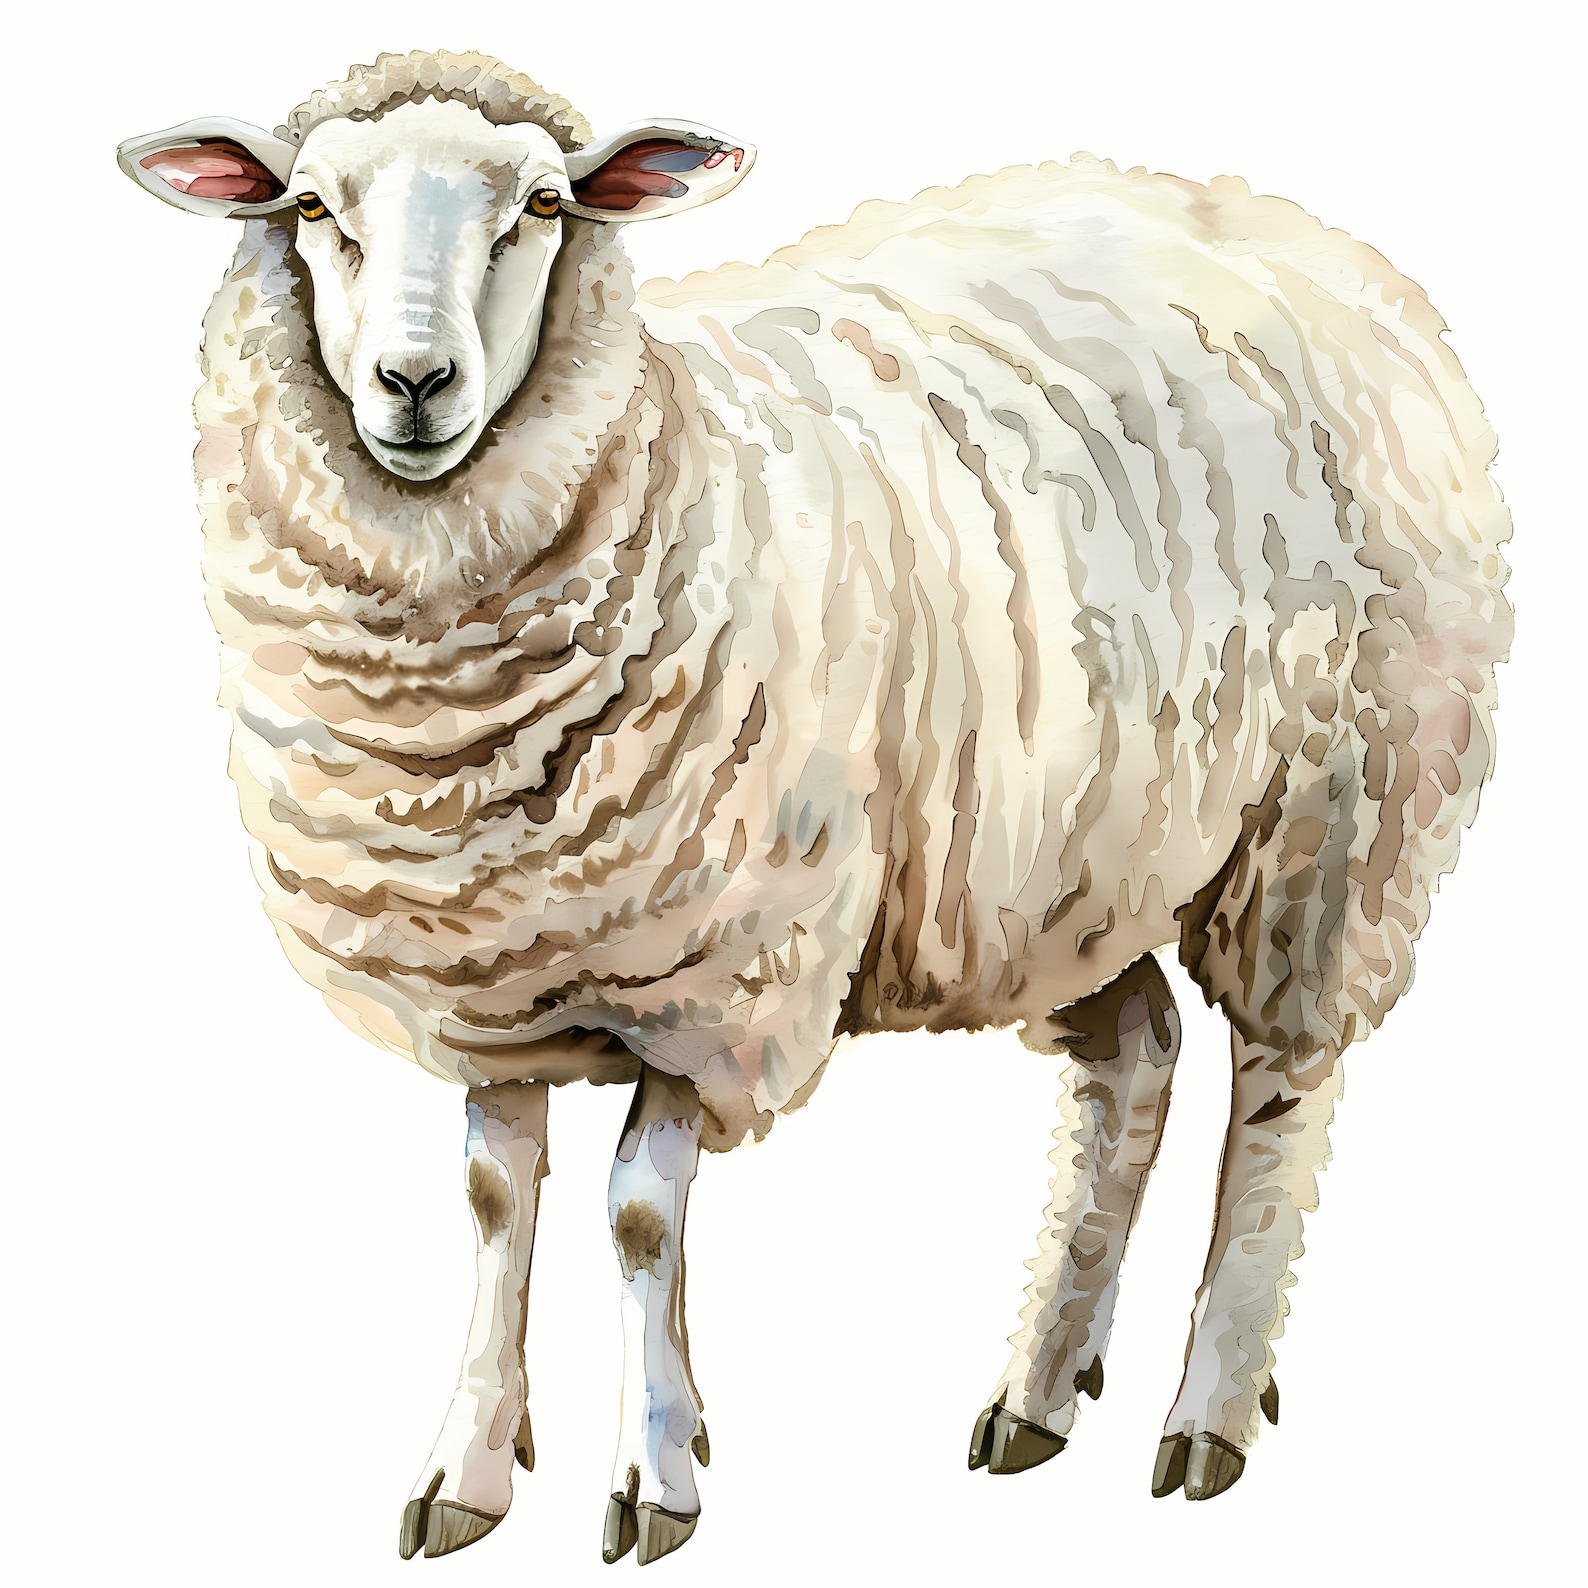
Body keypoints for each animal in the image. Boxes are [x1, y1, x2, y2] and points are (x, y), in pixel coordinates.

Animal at [118, 47, 1511, 1566]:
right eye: (314, 207)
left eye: (543, 206)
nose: (415, 383)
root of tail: (1295, 231)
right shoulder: (490, 972)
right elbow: (494, 1205)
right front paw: (466, 1471)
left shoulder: (726, 977)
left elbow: (638, 1218)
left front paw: (655, 1476)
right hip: (1066, 856)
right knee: (1134, 1064)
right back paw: (1036, 1390)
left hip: (1336, 813)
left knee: (1280, 1089)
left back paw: (1207, 1409)